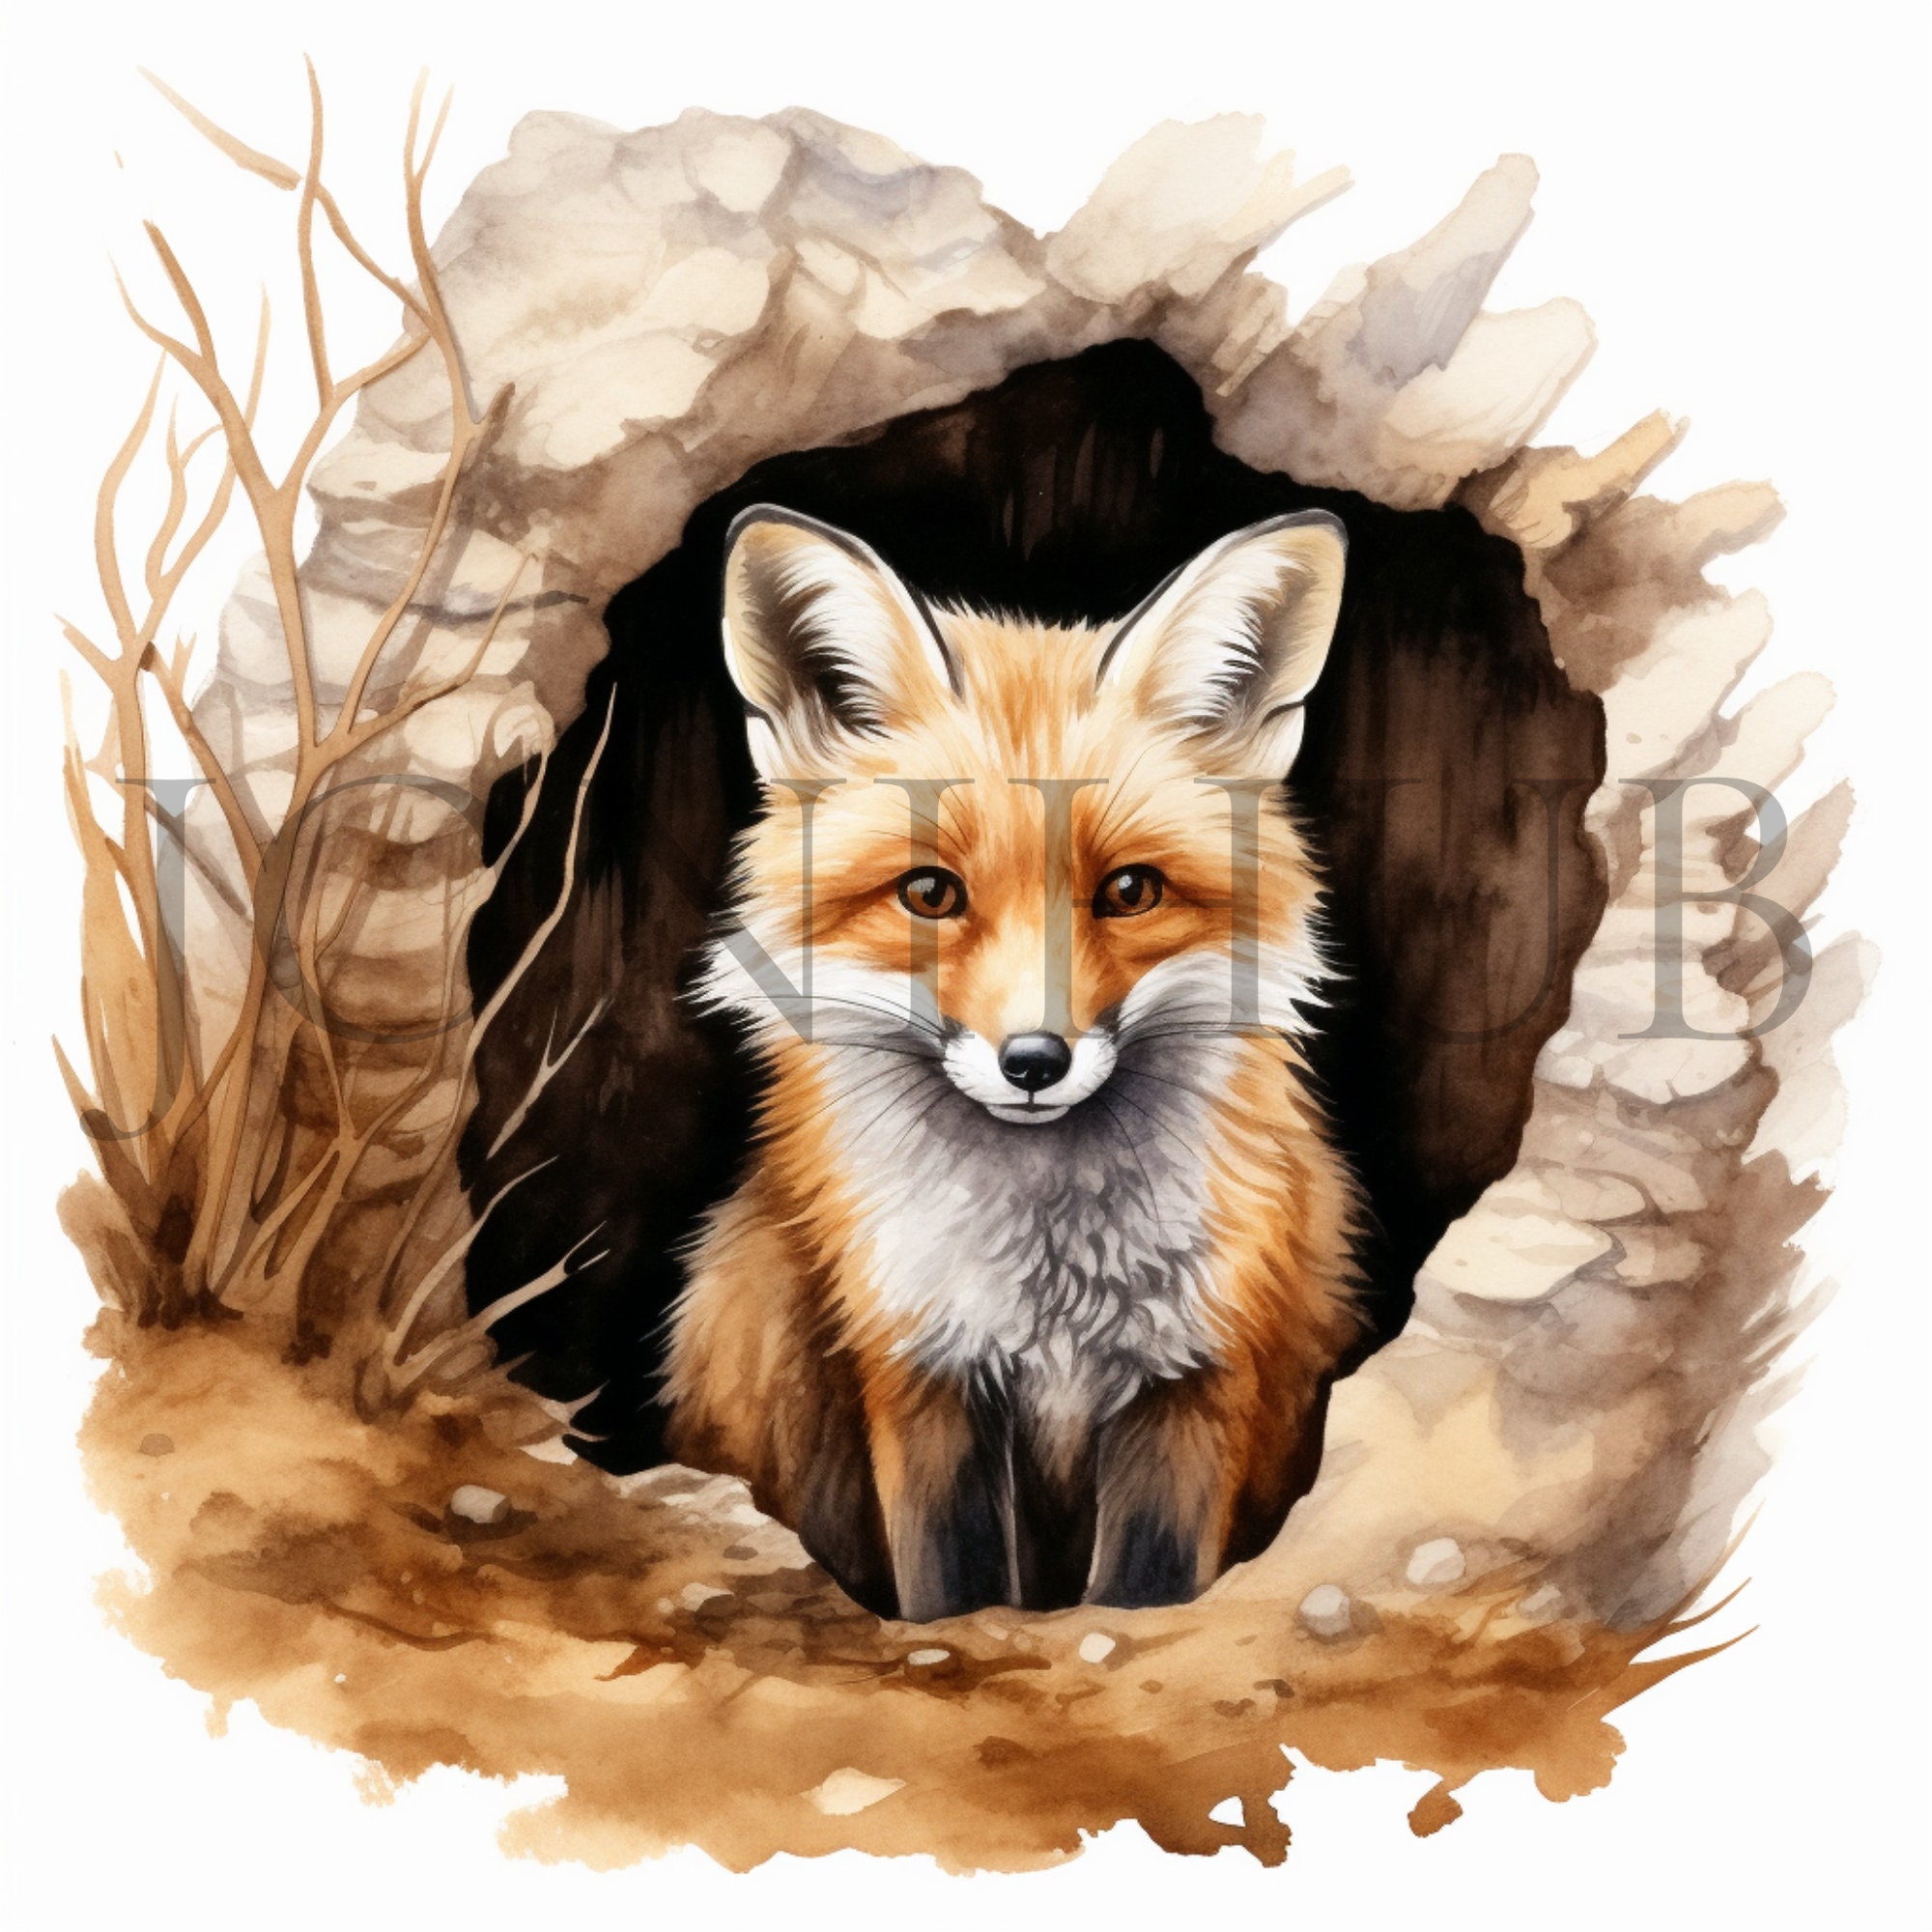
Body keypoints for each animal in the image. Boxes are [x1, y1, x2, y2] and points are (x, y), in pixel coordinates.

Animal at [660, 503, 1361, 1622]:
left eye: (1129, 890)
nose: (1034, 1060)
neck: (1051, 1278)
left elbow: (1144, 1590)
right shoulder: (923, 1375)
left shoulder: (1195, 1379)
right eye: (929, 894)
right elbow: (954, 1586)